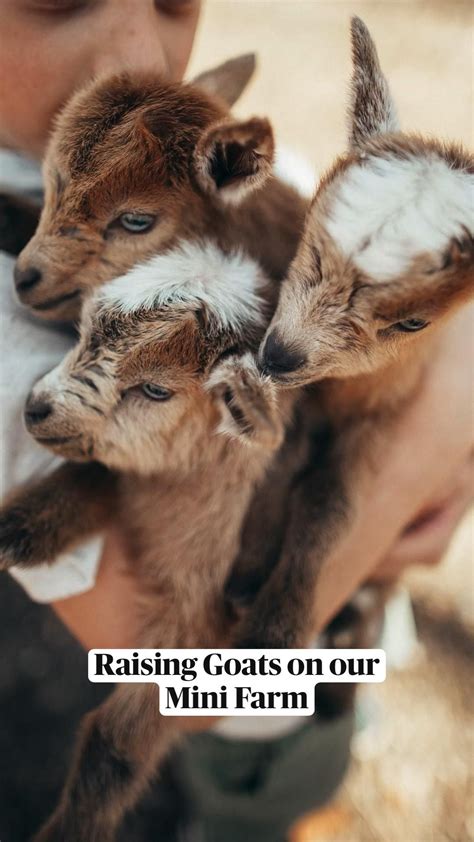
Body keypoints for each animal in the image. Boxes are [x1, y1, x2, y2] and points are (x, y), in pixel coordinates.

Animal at [210, 17, 474, 650]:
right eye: (310, 243)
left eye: (412, 321)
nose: (280, 355)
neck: (339, 401)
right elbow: (283, 457)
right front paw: (248, 576)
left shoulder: (386, 420)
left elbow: (331, 505)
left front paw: (274, 622)